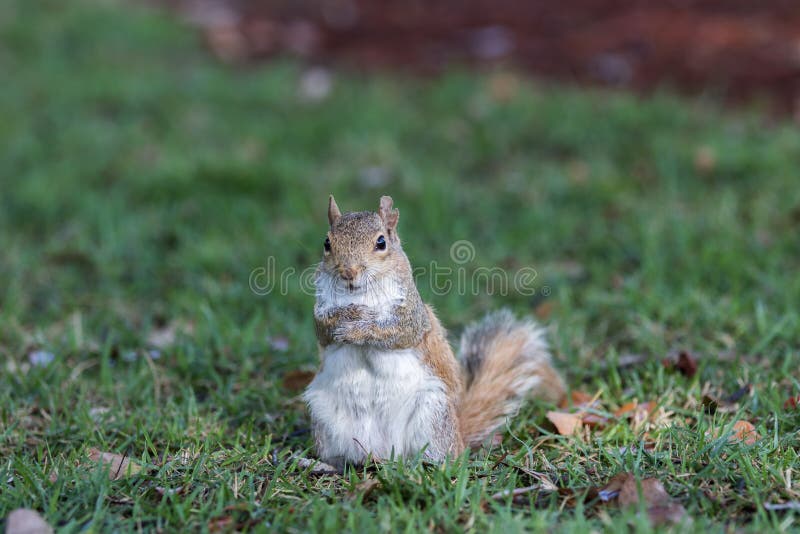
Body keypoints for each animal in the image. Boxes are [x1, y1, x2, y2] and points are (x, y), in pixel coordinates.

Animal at [303, 195, 565, 468]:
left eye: (381, 242)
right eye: (327, 243)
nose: (348, 272)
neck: (359, 294)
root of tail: (385, 453)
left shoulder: (411, 314)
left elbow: (397, 332)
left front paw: (359, 327)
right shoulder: (320, 310)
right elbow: (322, 327)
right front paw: (347, 315)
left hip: (431, 416)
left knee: (440, 457)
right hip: (325, 418)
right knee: (341, 458)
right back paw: (322, 464)